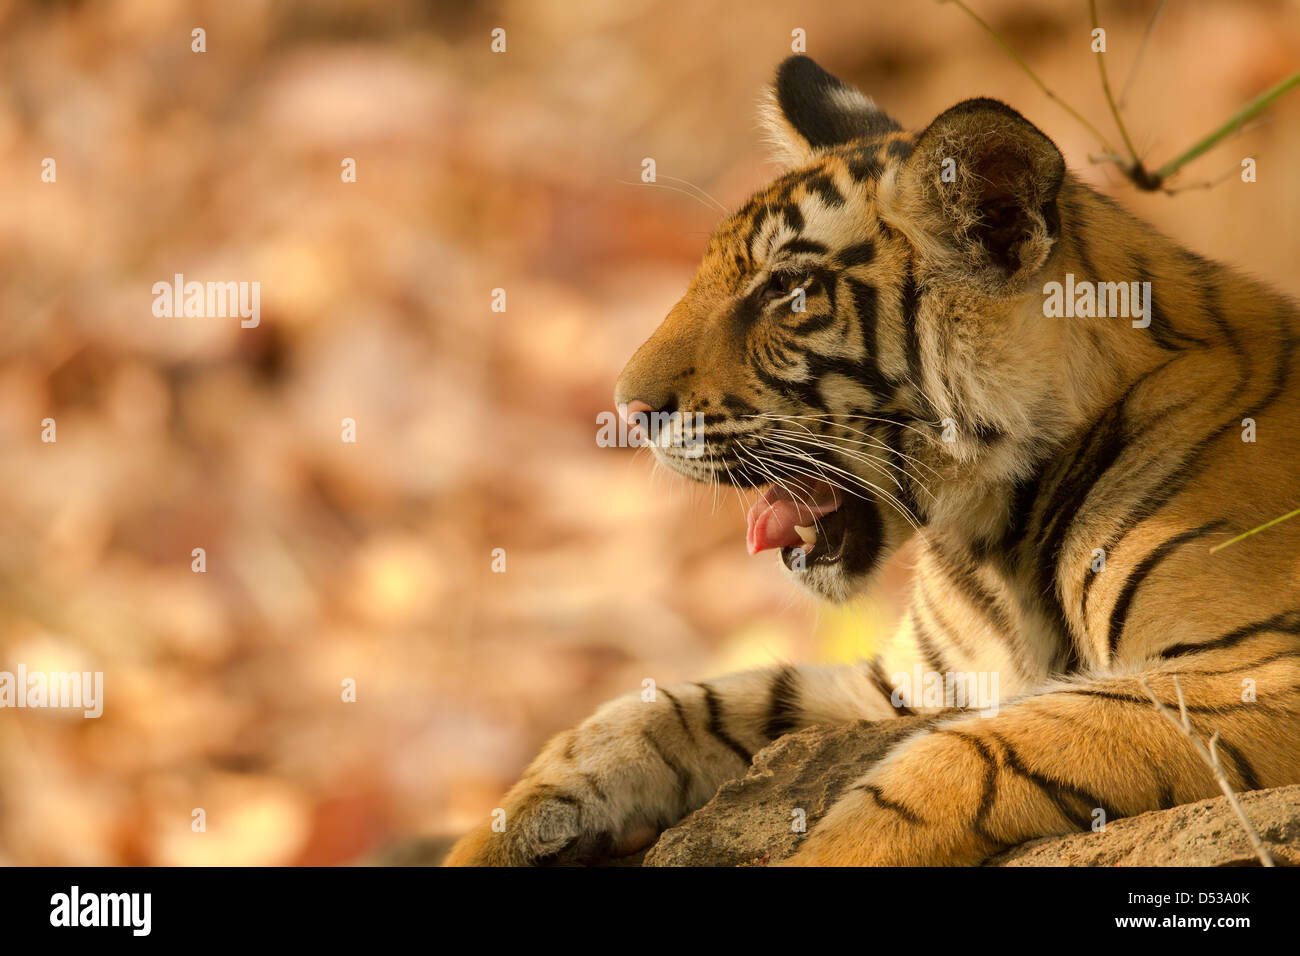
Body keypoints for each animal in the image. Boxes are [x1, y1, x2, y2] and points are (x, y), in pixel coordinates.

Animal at [446, 55, 1300, 866]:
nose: (626, 408)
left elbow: (963, 763)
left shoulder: (1255, 671)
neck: (996, 540)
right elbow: (669, 708)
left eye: (790, 290)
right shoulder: (906, 686)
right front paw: (499, 832)